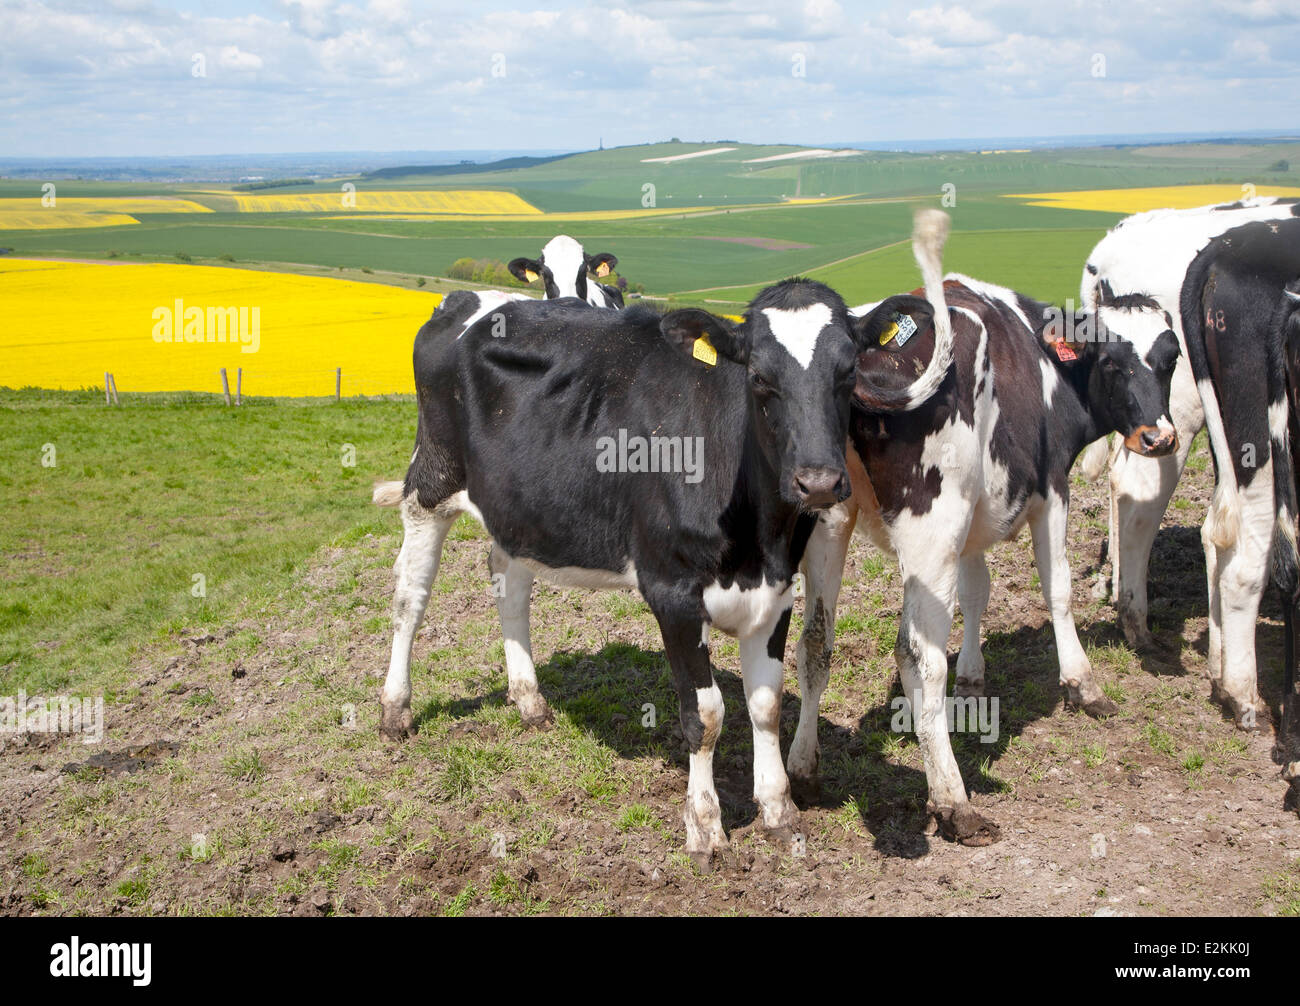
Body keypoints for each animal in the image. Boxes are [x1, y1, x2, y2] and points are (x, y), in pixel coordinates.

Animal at [372, 210, 956, 865]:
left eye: (849, 371)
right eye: (758, 377)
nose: (820, 482)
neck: (754, 533)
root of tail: (470, 299)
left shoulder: (778, 588)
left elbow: (765, 703)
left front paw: (778, 809)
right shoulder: (671, 590)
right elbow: (704, 713)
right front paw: (705, 825)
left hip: (521, 505)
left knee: (508, 580)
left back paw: (529, 701)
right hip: (431, 480)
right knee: (410, 596)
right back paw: (395, 709)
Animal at [788, 272, 1181, 844]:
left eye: (1170, 358)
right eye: (1111, 361)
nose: (1159, 437)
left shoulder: (970, 524)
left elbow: (978, 591)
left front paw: (972, 681)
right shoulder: (1051, 488)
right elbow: (1057, 589)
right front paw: (1083, 685)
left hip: (831, 517)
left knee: (815, 641)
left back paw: (803, 771)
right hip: (932, 528)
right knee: (916, 653)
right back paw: (954, 802)